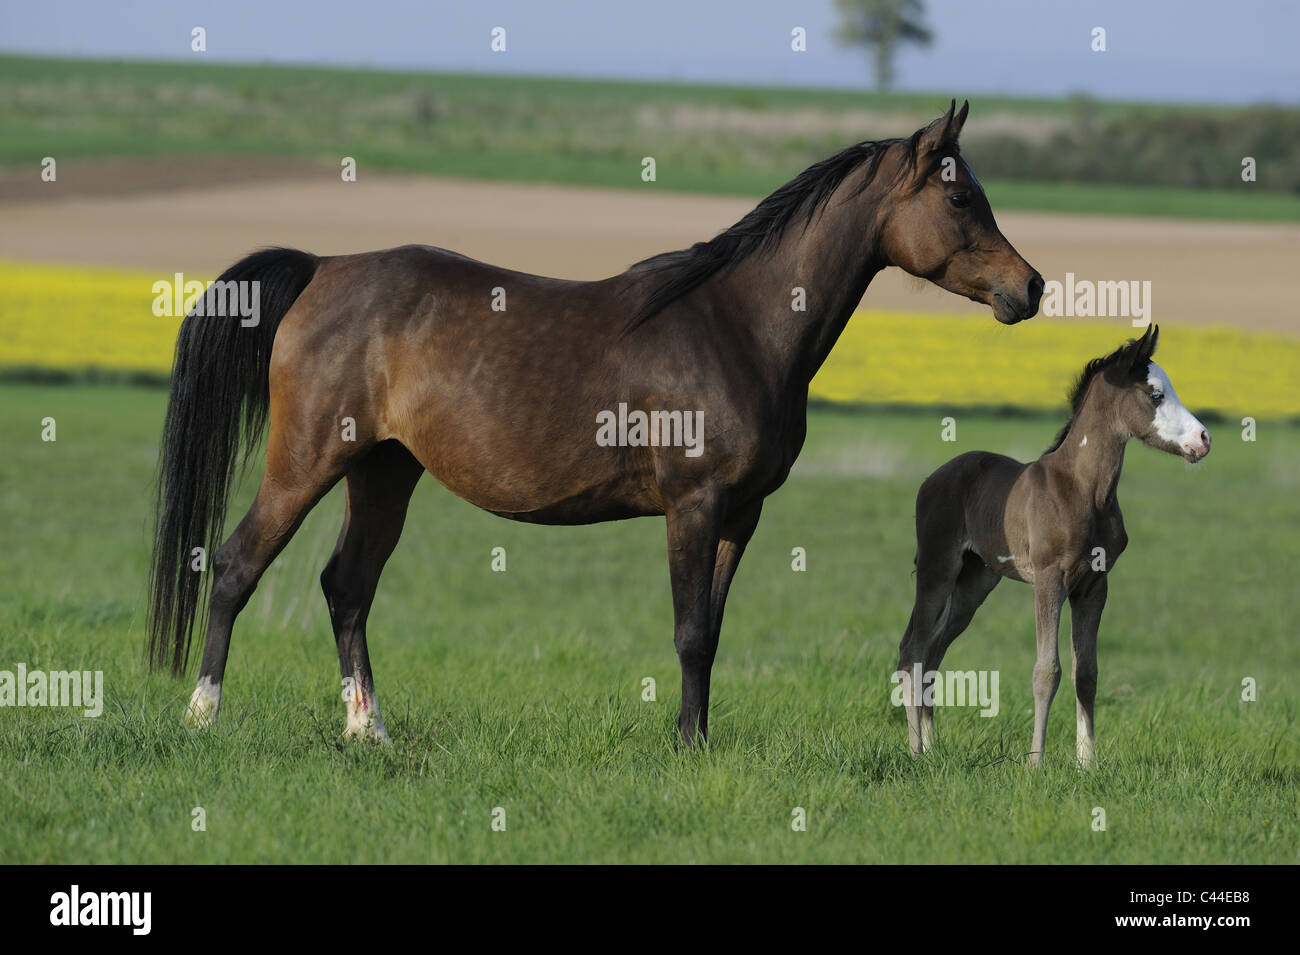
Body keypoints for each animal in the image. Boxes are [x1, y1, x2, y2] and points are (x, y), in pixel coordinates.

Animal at [147, 100, 1043, 746]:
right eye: (959, 195)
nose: (1030, 287)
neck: (736, 324)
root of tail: (321, 269)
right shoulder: (692, 505)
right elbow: (689, 631)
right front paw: (686, 745)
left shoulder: (741, 515)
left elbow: (714, 630)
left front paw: (697, 737)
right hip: (305, 461)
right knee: (235, 566)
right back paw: (203, 715)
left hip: (383, 470)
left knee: (347, 586)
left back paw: (369, 730)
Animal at [896, 325, 1210, 767]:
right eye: (1155, 394)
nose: (1204, 439)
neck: (1083, 490)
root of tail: (933, 478)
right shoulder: (1049, 580)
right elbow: (1047, 671)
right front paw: (1035, 763)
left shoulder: (1094, 586)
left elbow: (1087, 672)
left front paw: (1087, 763)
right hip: (937, 569)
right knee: (914, 649)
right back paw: (915, 751)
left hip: (976, 581)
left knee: (936, 651)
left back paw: (932, 746)